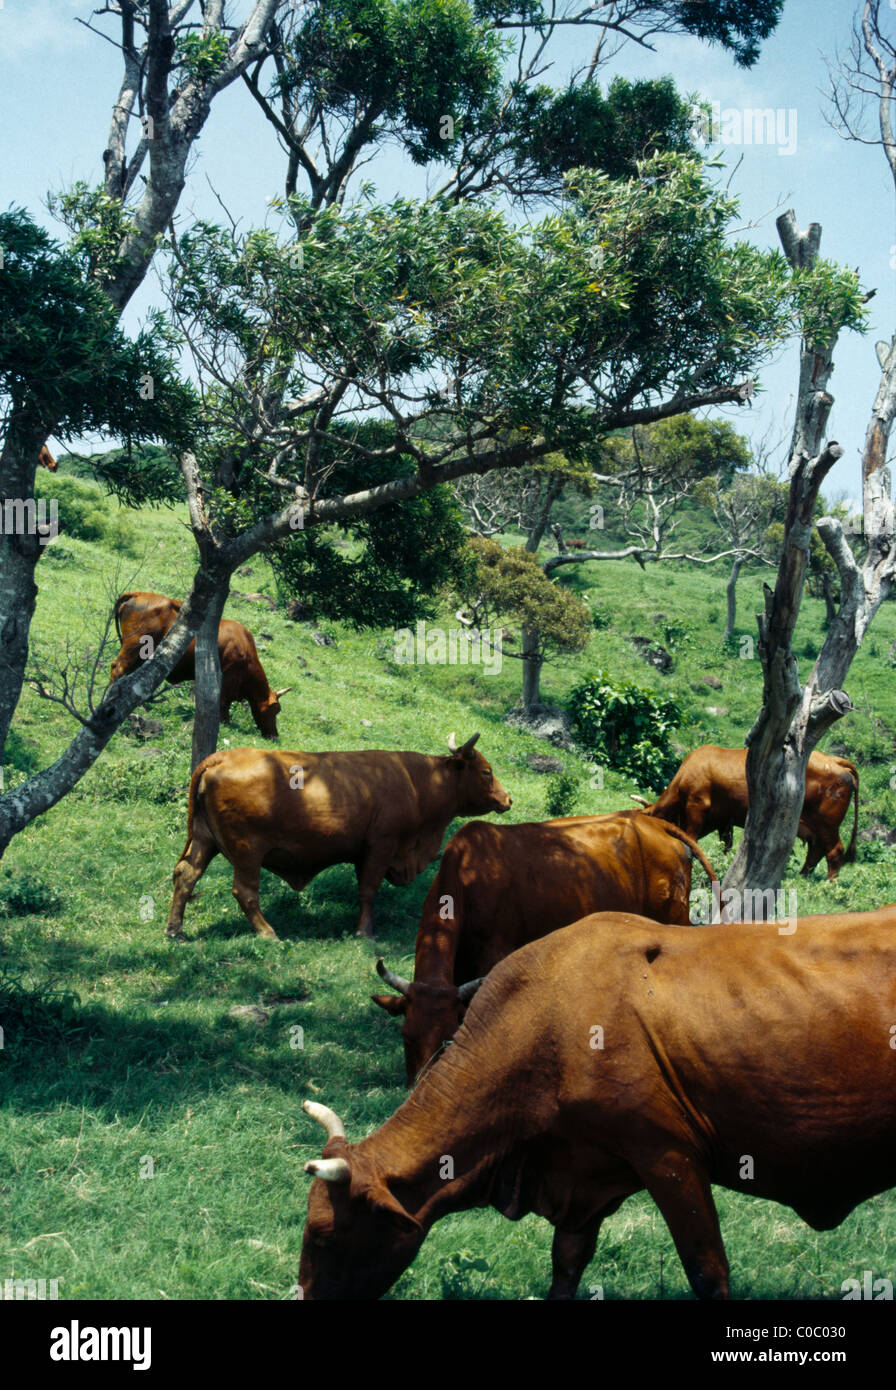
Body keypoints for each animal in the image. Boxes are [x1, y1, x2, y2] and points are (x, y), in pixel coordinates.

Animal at [110, 591, 289, 738]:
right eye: (276, 709)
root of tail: (139, 594)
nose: (274, 735)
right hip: (133, 648)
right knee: (118, 668)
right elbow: (224, 704)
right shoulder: (227, 680)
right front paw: (225, 724)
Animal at [166, 732, 512, 942]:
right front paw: (365, 932)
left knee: (186, 875)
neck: (414, 781)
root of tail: (221, 757)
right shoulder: (381, 845)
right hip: (247, 851)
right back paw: (268, 933)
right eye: (486, 772)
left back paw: (175, 931)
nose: (507, 799)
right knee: (245, 891)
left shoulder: (364, 851)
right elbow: (369, 890)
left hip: (205, 840)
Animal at [632, 745, 859, 880]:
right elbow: (726, 844)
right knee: (815, 851)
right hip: (815, 828)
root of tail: (835, 760)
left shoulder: (697, 806)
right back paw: (802, 876)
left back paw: (829, 883)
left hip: (827, 824)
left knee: (834, 851)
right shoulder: (724, 819)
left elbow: (691, 838)